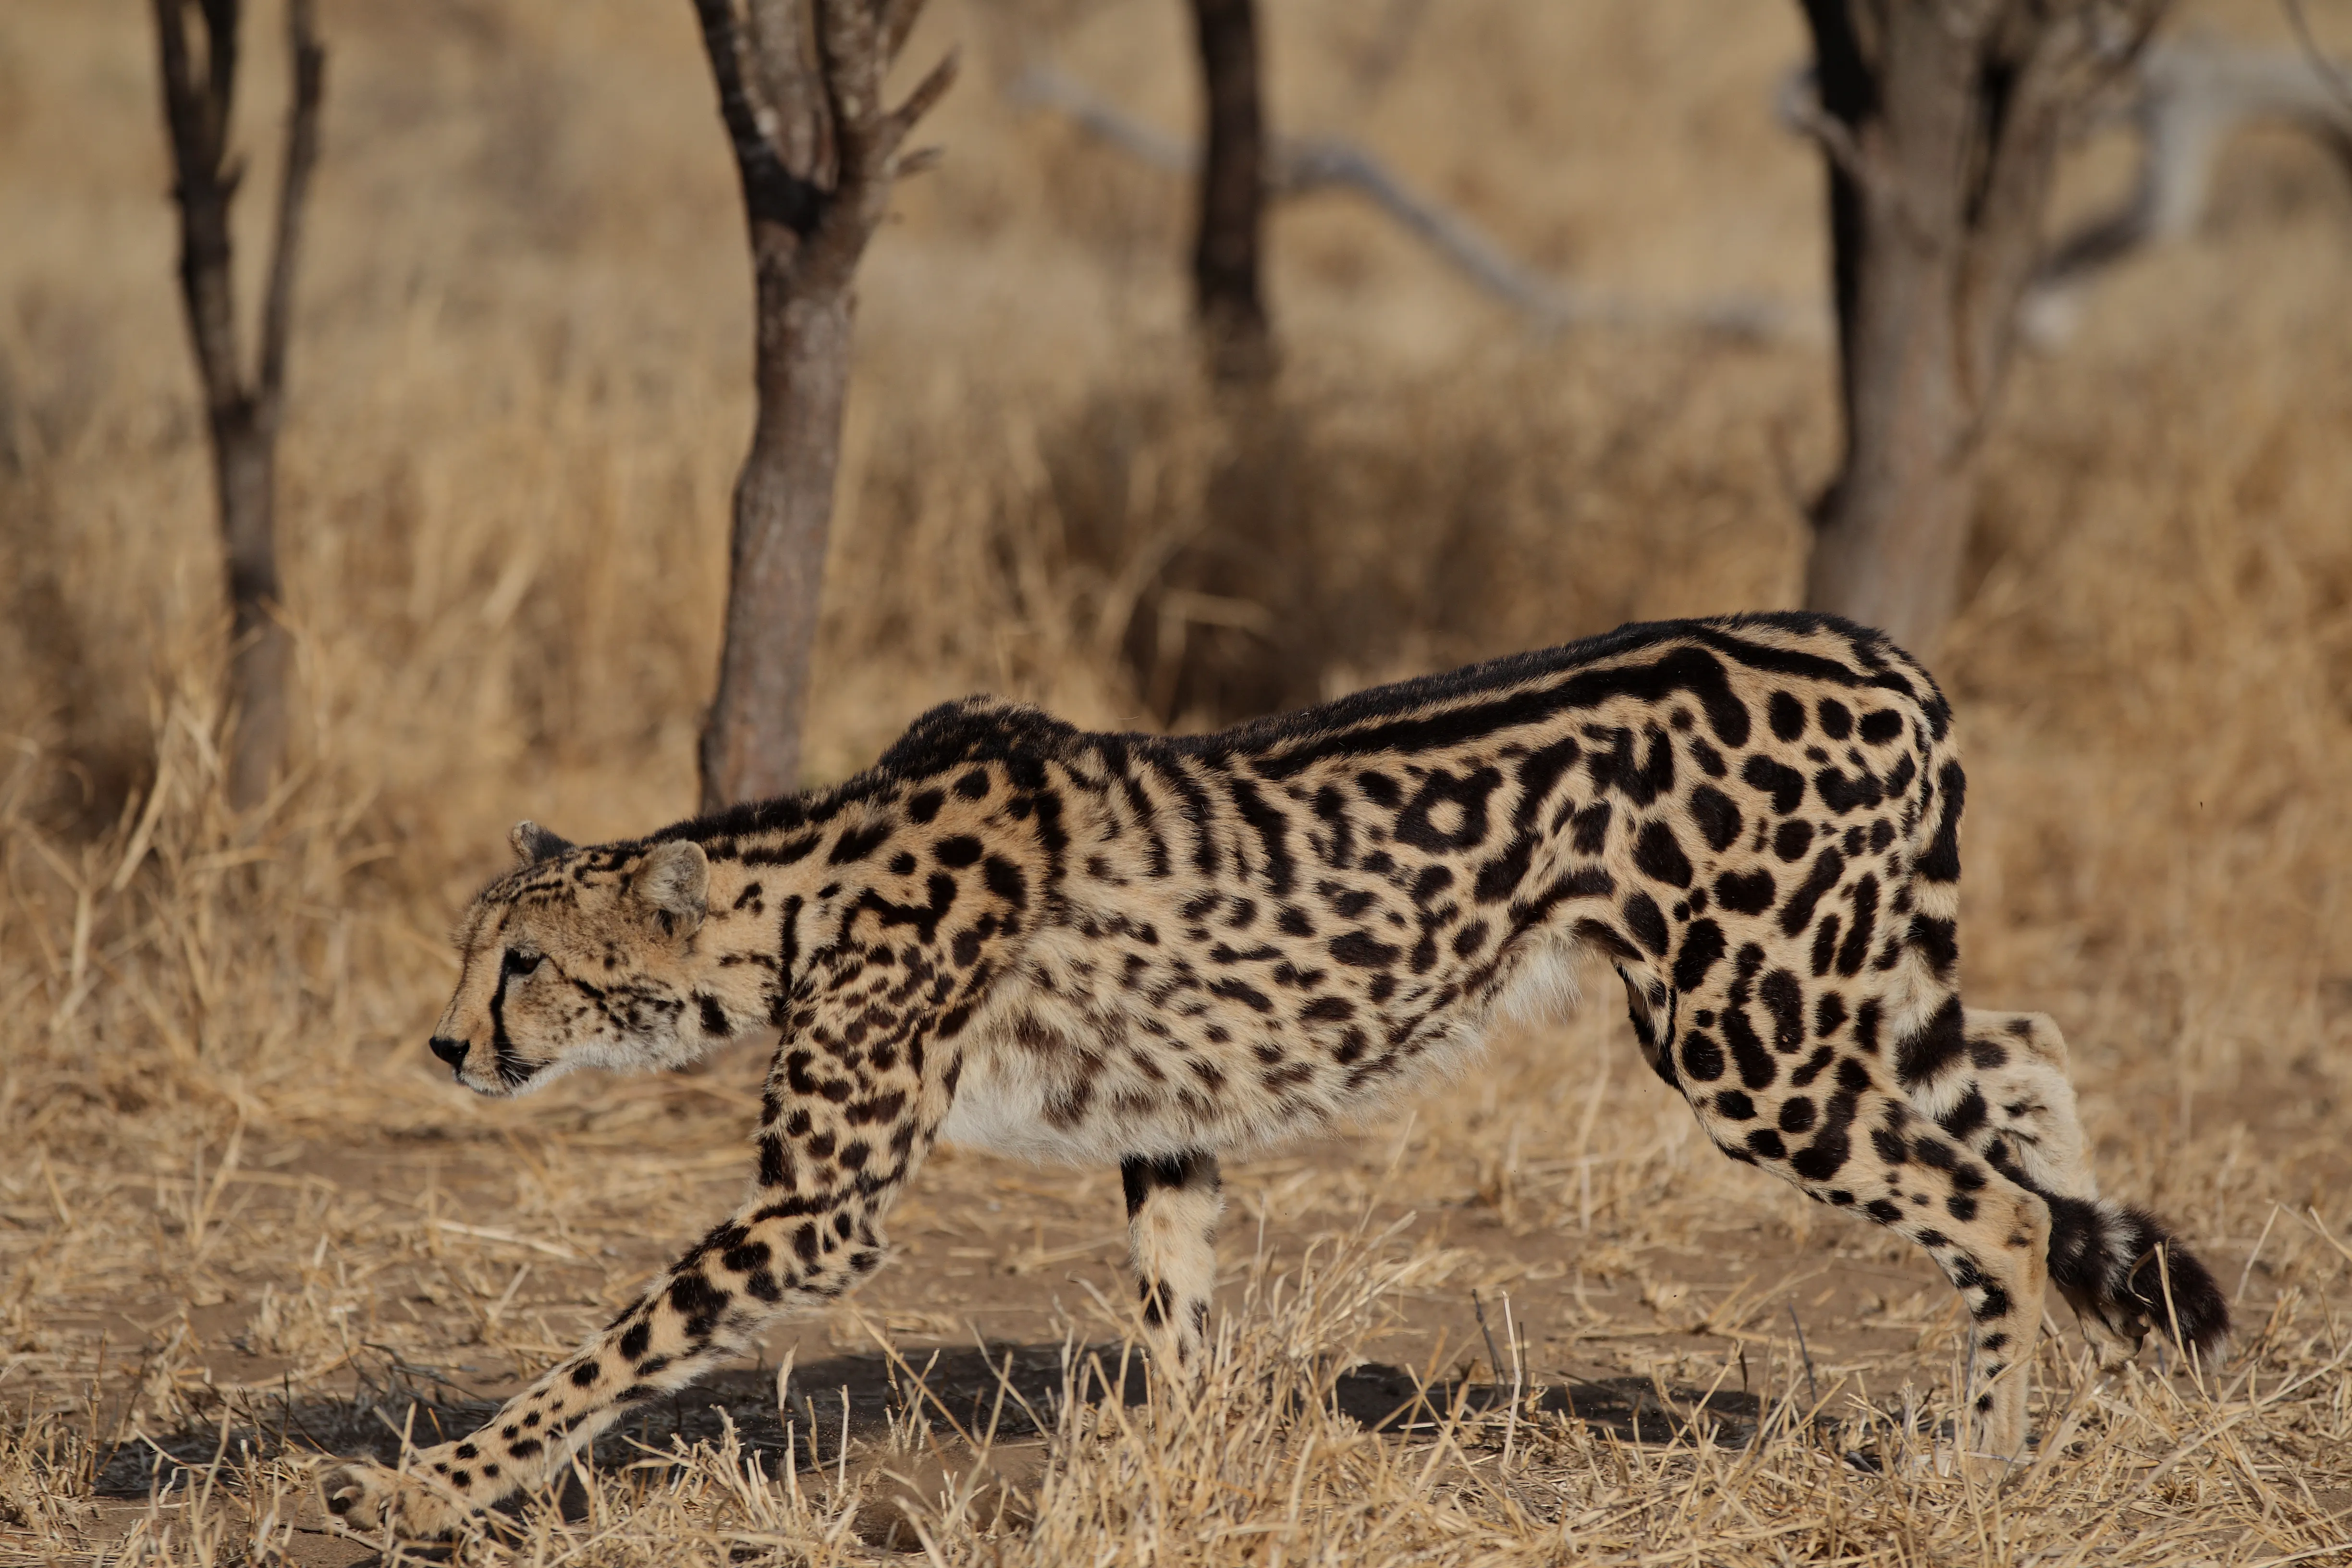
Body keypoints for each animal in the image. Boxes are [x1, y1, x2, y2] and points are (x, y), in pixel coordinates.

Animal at [321, 611, 2227, 1535]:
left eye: (524, 963)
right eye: (476, 951)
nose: (447, 1040)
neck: (801, 882)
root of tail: (1873, 644)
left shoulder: (819, 1205)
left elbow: (604, 1355)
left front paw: (417, 1484)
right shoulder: (1168, 1133)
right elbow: (1178, 1324)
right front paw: (1161, 1482)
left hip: (1742, 1034)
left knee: (1983, 1201)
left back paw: (1978, 1463)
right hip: (1823, 997)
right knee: (2026, 1055)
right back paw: (2124, 1283)